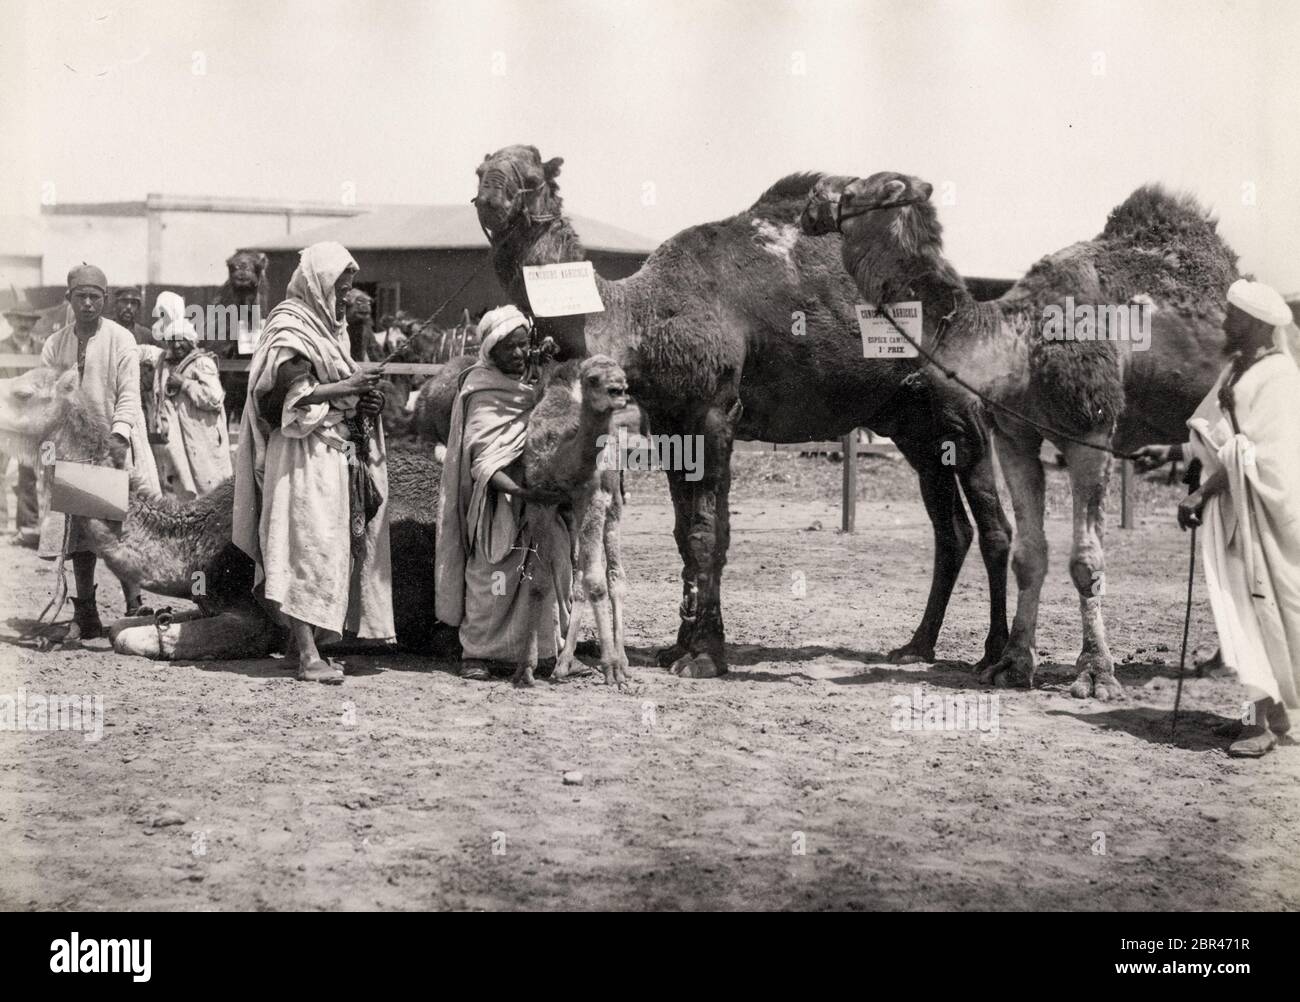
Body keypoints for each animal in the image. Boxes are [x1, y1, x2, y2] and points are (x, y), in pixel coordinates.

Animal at [518, 355, 631, 689]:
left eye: (623, 374)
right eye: (593, 378)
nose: (619, 390)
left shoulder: (592, 498)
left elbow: (596, 582)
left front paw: (611, 669)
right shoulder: (539, 500)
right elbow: (540, 581)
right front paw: (525, 669)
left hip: (613, 502)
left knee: (613, 575)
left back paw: (622, 660)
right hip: (568, 516)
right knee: (575, 574)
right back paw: (563, 663)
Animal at [801, 172, 1235, 698]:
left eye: (856, 190)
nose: (811, 203)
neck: (1020, 342)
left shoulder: (1090, 430)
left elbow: (1085, 560)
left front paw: (1095, 674)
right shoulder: (1015, 436)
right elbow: (1029, 554)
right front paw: (1010, 665)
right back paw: (1218, 662)